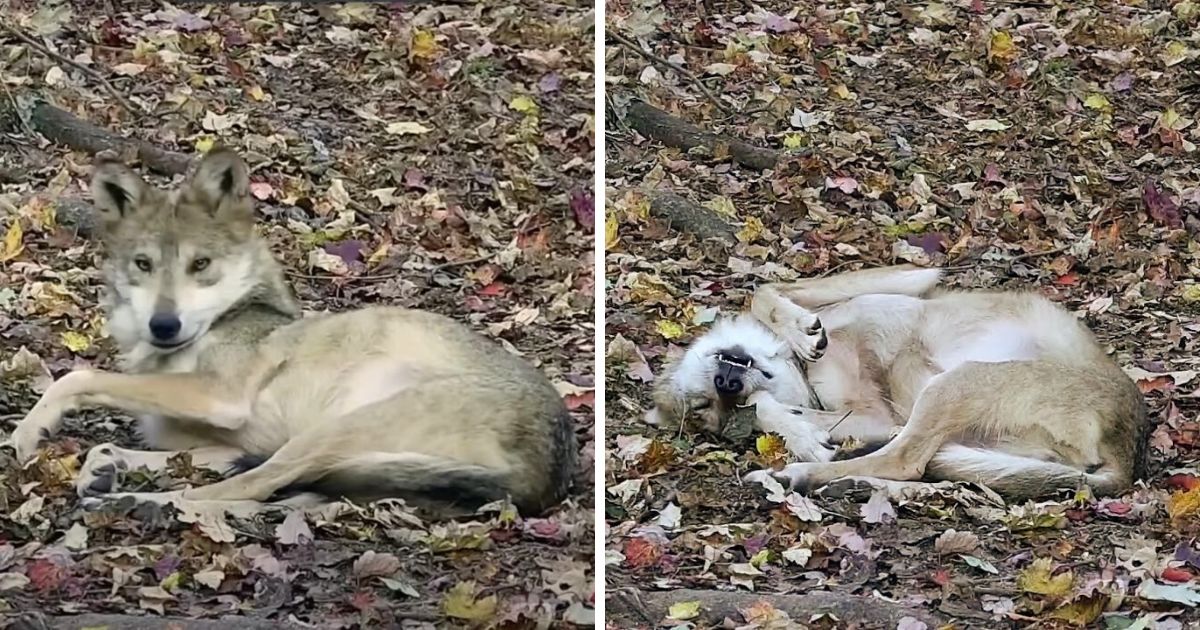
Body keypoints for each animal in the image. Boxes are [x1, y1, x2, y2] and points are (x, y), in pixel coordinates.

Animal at [7, 148, 577, 516]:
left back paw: (134, 503)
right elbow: (134, 447)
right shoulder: (229, 439)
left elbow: (77, 378)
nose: (164, 325)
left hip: (337, 429)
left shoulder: (222, 397)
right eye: (143, 264)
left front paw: (28, 433)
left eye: (200, 265)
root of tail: (551, 471)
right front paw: (101, 464)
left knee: (236, 493)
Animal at [646, 265, 1148, 500]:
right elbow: (773, 408)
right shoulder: (872, 415)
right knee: (909, 463)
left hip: (959, 382)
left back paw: (799, 473)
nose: (728, 383)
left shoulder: (909, 275)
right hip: (959, 405)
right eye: (711, 404)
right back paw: (808, 474)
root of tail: (1127, 456)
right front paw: (803, 438)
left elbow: (764, 290)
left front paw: (802, 331)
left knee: (905, 459)